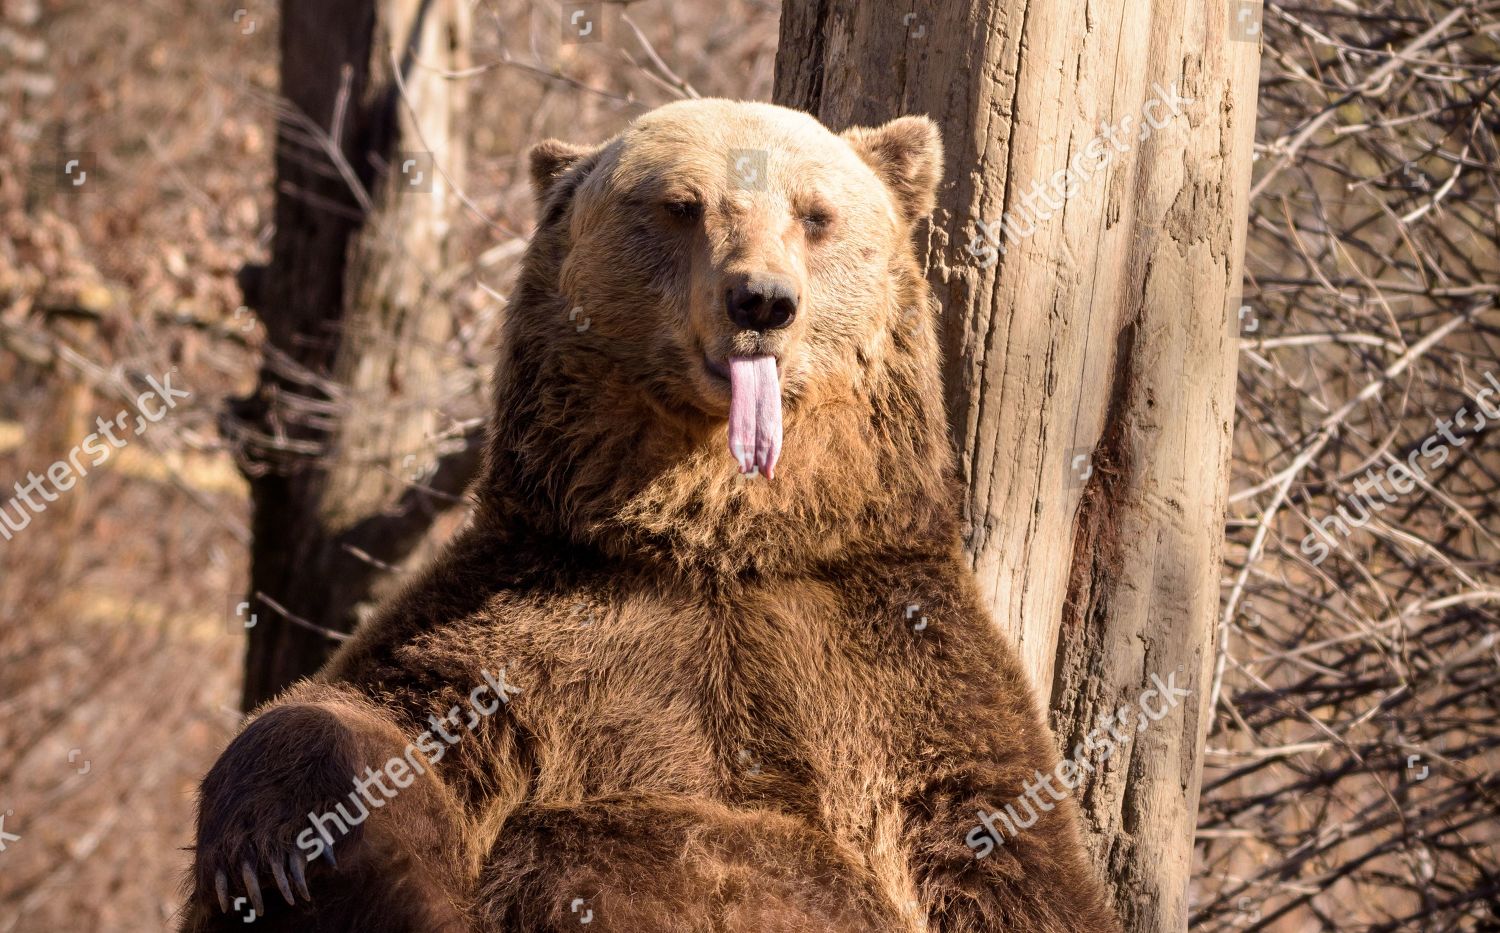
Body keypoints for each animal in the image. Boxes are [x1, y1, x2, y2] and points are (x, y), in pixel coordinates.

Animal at [180, 99, 1122, 933]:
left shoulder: (891, 660)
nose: (760, 301)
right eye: (682, 204)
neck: (711, 542)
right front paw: (270, 843)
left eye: (815, 213)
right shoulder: (534, 620)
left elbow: (1000, 852)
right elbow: (376, 722)